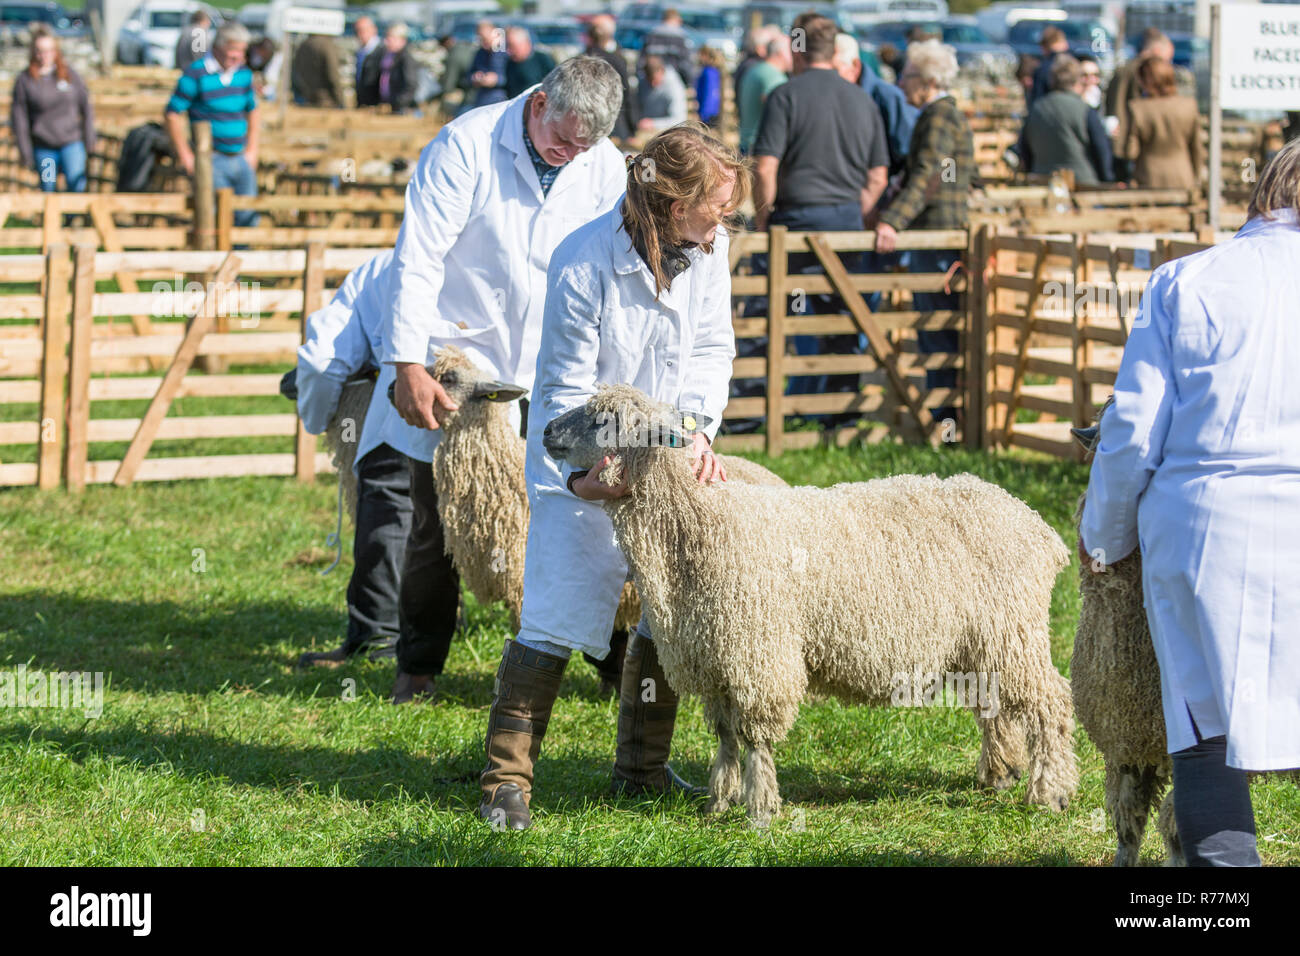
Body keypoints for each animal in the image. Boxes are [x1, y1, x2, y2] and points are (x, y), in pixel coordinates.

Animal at [542, 384, 1079, 826]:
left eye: (602, 419)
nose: (545, 430)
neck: (701, 522)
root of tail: (1039, 528)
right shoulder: (716, 657)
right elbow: (726, 736)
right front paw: (720, 800)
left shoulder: (757, 655)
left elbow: (755, 738)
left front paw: (760, 808)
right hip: (985, 642)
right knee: (995, 704)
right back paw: (999, 773)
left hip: (1015, 632)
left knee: (1050, 703)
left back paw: (1050, 792)